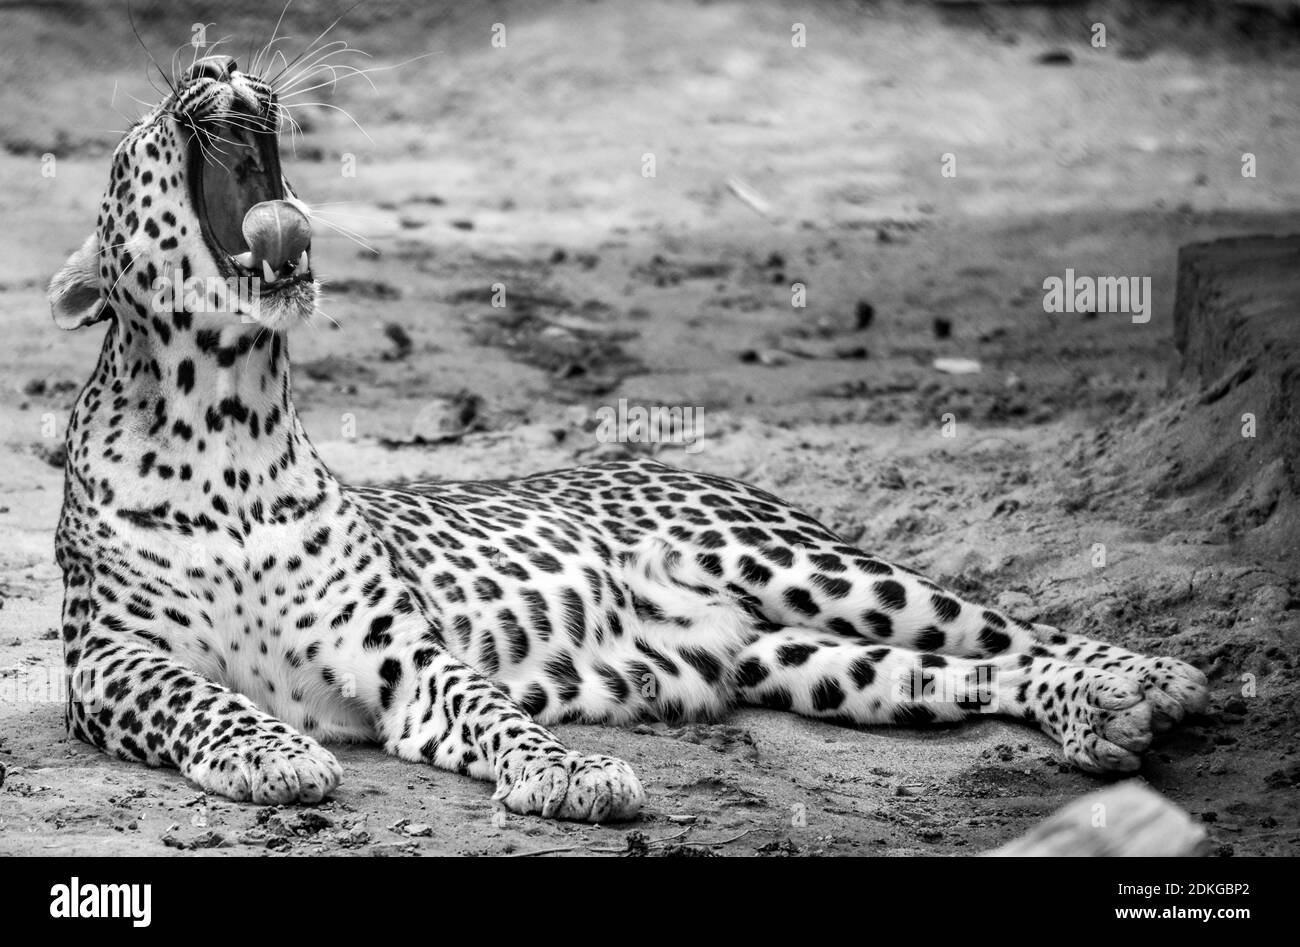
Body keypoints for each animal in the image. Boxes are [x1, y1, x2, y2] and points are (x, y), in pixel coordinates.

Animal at [47, 54, 1209, 823]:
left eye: (219, 66)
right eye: (145, 131)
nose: (217, 61)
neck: (228, 415)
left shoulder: (402, 652)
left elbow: (490, 706)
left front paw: (569, 770)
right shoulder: (110, 658)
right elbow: (201, 695)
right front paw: (273, 754)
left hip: (812, 567)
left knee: (1010, 631)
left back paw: (1143, 680)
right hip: (799, 662)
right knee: (951, 674)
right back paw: (1105, 711)